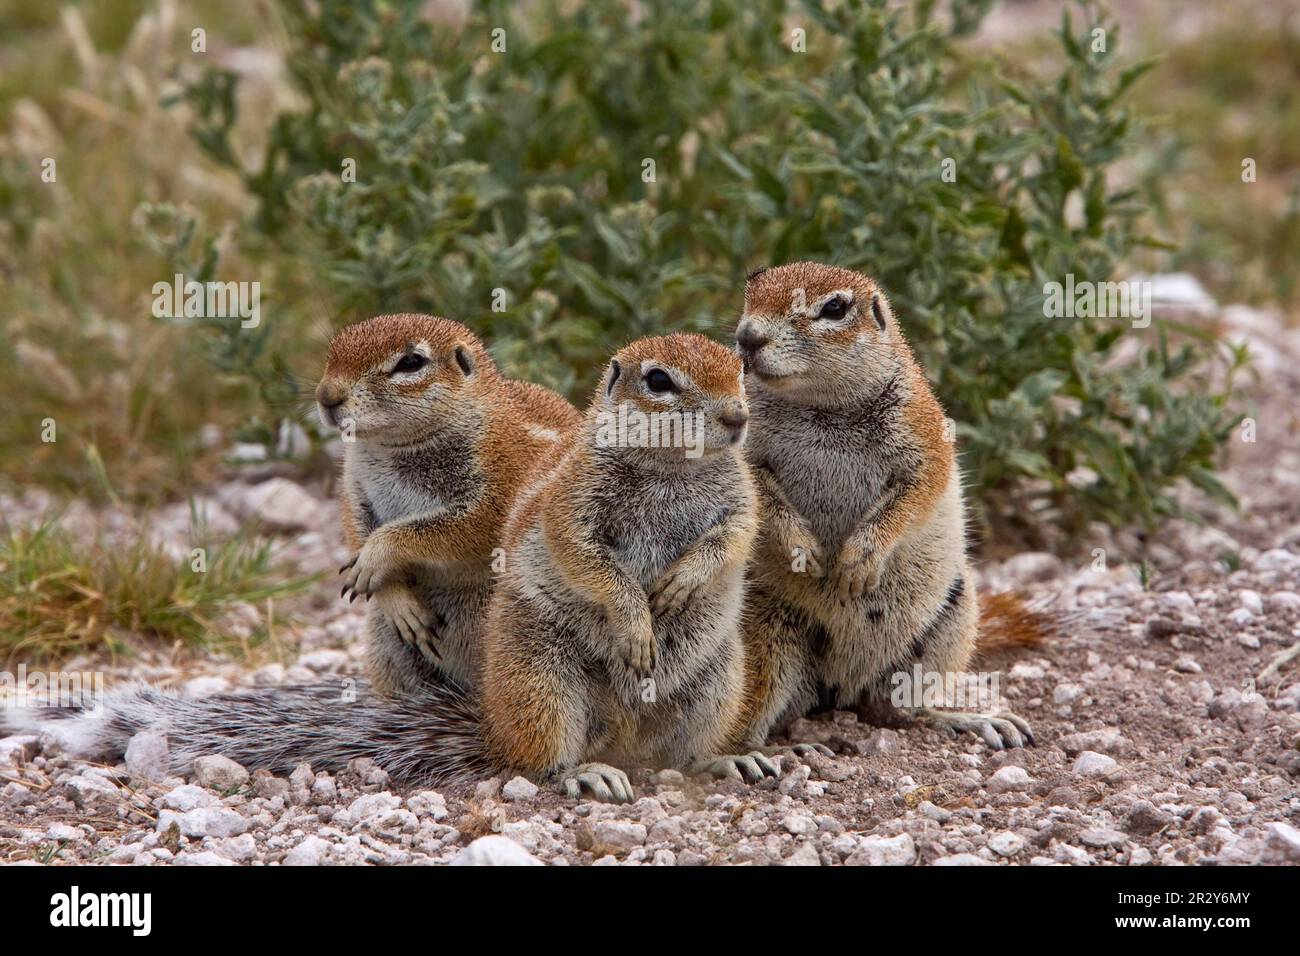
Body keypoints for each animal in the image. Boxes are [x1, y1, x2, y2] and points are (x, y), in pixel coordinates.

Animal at [317, 313, 579, 696]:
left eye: (411, 362)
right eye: (332, 350)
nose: (326, 397)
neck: (391, 447)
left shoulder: (498, 491)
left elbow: (448, 533)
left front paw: (379, 553)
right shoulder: (355, 487)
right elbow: (355, 529)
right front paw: (395, 599)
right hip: (388, 650)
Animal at [733, 263, 1045, 752]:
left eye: (835, 308)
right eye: (752, 285)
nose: (747, 337)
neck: (818, 403)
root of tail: (837, 687)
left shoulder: (924, 436)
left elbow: (913, 497)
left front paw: (861, 559)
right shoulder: (745, 453)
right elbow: (762, 498)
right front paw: (802, 550)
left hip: (947, 626)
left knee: (893, 711)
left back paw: (968, 720)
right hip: (766, 632)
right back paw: (774, 749)